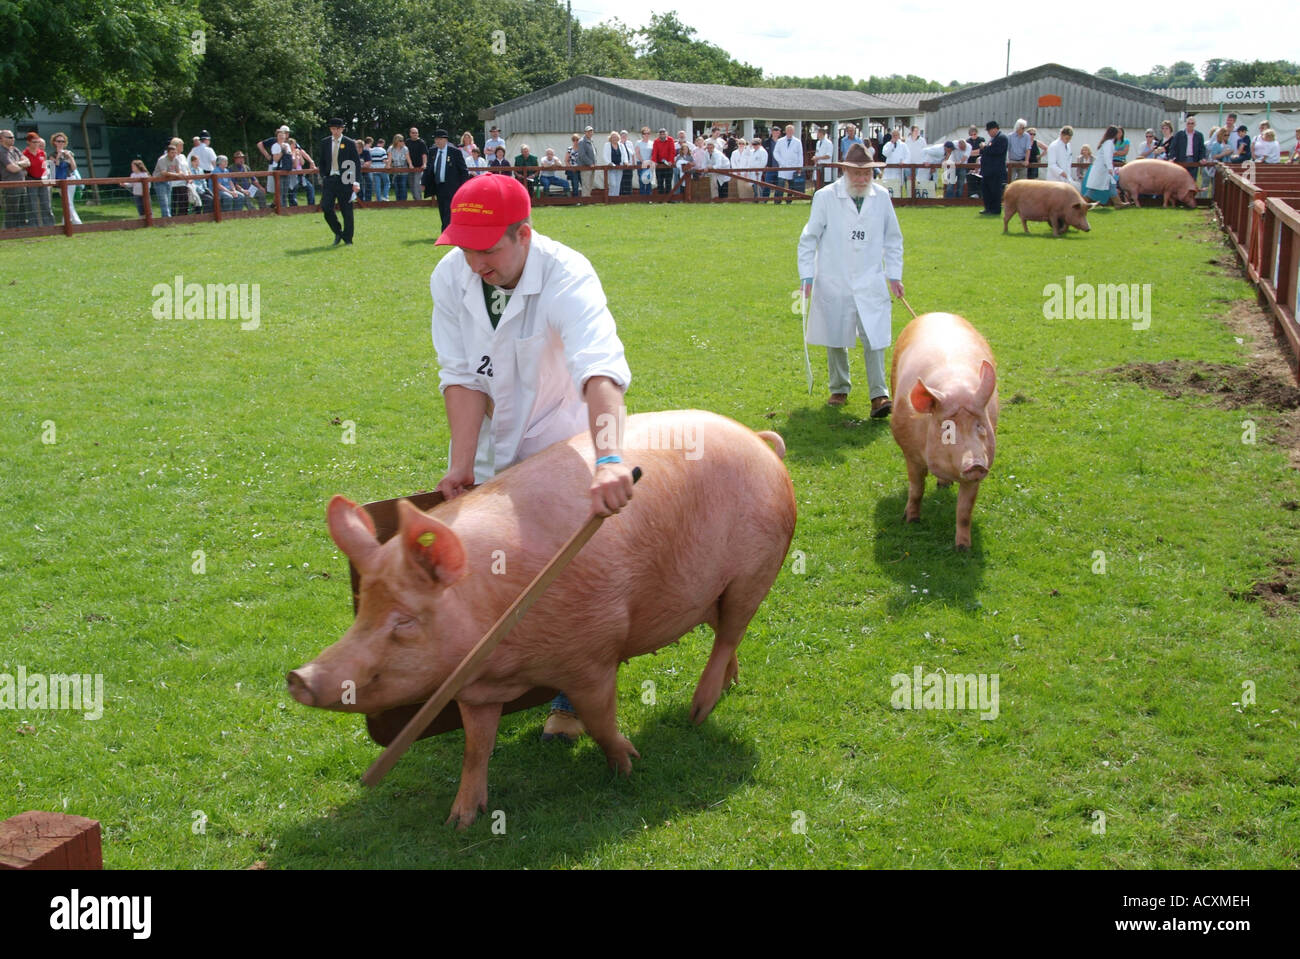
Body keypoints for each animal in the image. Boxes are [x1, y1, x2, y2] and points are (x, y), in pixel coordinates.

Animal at [287, 410, 796, 828]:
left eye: (405, 621)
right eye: (363, 607)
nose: (299, 677)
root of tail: (757, 439)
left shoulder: (591, 654)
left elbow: (600, 720)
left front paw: (628, 766)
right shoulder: (473, 689)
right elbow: (475, 746)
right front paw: (460, 821)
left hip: (757, 569)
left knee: (731, 632)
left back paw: (697, 712)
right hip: (715, 592)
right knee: (727, 637)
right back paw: (728, 687)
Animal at [890, 313, 999, 551]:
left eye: (981, 426)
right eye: (947, 429)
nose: (976, 463)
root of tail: (936, 313)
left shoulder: (978, 471)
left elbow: (965, 510)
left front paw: (963, 549)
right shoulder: (911, 453)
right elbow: (916, 488)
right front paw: (911, 520)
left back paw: (944, 485)